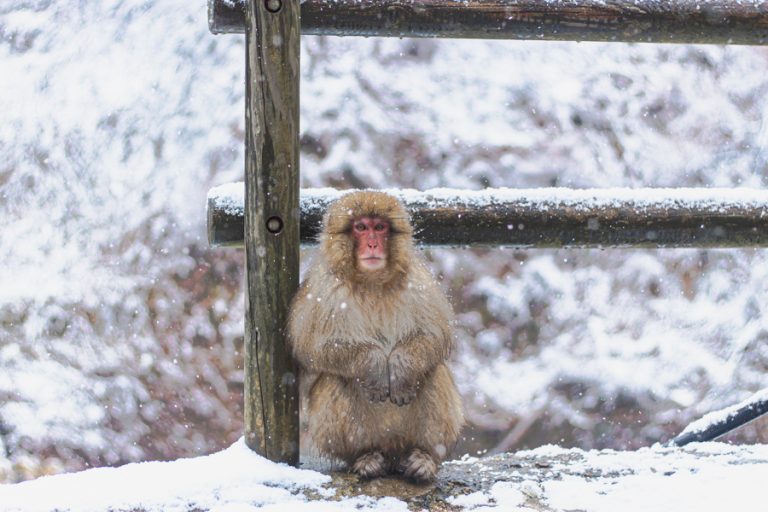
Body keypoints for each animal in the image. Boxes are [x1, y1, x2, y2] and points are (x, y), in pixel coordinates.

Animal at [287, 190, 464, 482]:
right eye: (360, 227)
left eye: (380, 227)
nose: (372, 244)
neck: (371, 282)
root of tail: (392, 453)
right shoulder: (324, 289)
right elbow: (309, 348)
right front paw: (374, 365)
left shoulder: (418, 283)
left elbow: (436, 334)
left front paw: (400, 368)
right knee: (336, 379)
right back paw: (364, 458)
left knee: (433, 370)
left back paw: (424, 457)